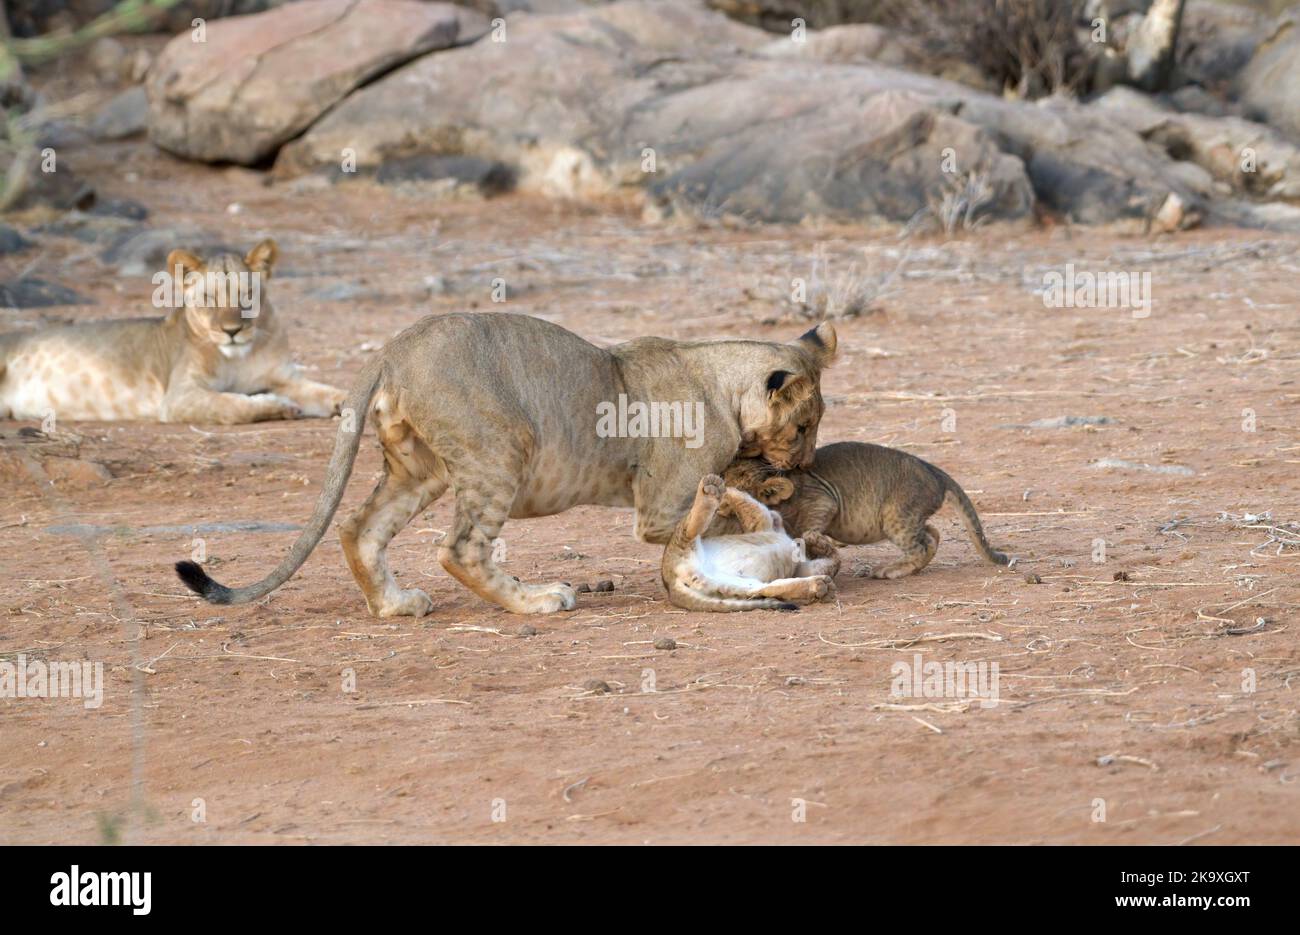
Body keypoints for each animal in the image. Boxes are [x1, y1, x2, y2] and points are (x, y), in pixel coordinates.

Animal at [0, 239, 345, 424]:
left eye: (247, 297)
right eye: (209, 299)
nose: (232, 331)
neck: (239, 357)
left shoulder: (286, 377)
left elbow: (325, 391)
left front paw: (346, 400)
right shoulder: (180, 395)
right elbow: (231, 405)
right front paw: (280, 406)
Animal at [661, 474, 839, 612]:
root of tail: (671, 583)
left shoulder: (799, 566)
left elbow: (833, 563)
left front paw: (814, 540)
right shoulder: (762, 521)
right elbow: (748, 501)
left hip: (731, 586)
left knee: (767, 588)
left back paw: (819, 586)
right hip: (682, 543)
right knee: (689, 530)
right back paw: (710, 489)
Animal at [723, 441, 1010, 579]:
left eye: (731, 486)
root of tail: (935, 472)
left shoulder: (824, 499)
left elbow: (810, 529)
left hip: (895, 516)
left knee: (923, 543)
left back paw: (891, 571)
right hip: (909, 516)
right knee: (933, 533)